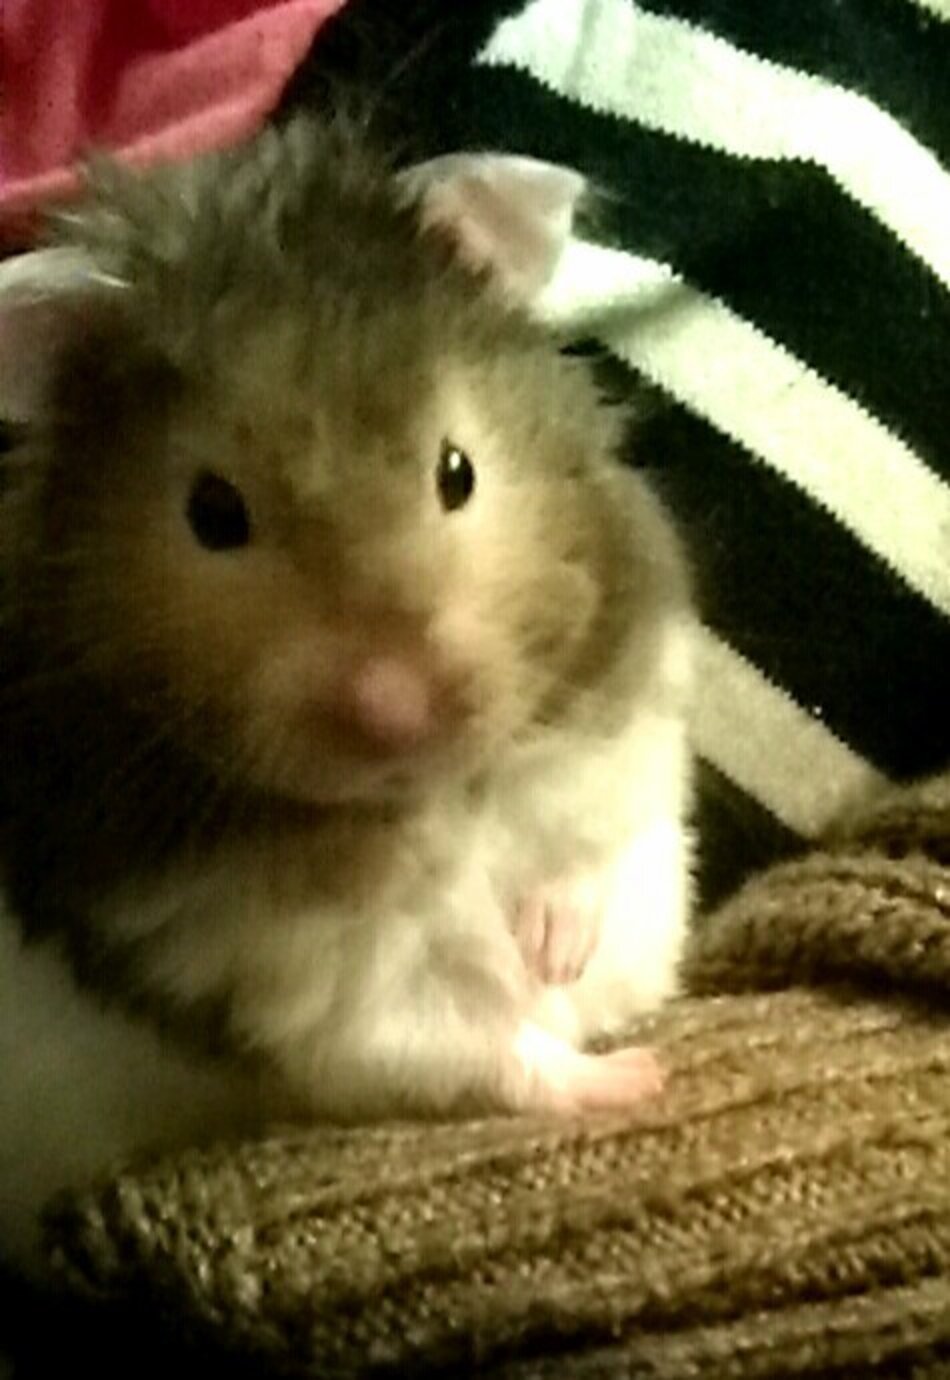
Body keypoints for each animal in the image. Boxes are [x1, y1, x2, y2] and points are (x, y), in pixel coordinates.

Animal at [0, 116, 694, 1275]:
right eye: (212, 512)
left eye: (456, 470)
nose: (397, 712)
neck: (432, 795)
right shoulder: (291, 990)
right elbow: (473, 1043)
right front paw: (625, 1080)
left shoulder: (627, 735)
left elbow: (590, 839)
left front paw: (550, 951)